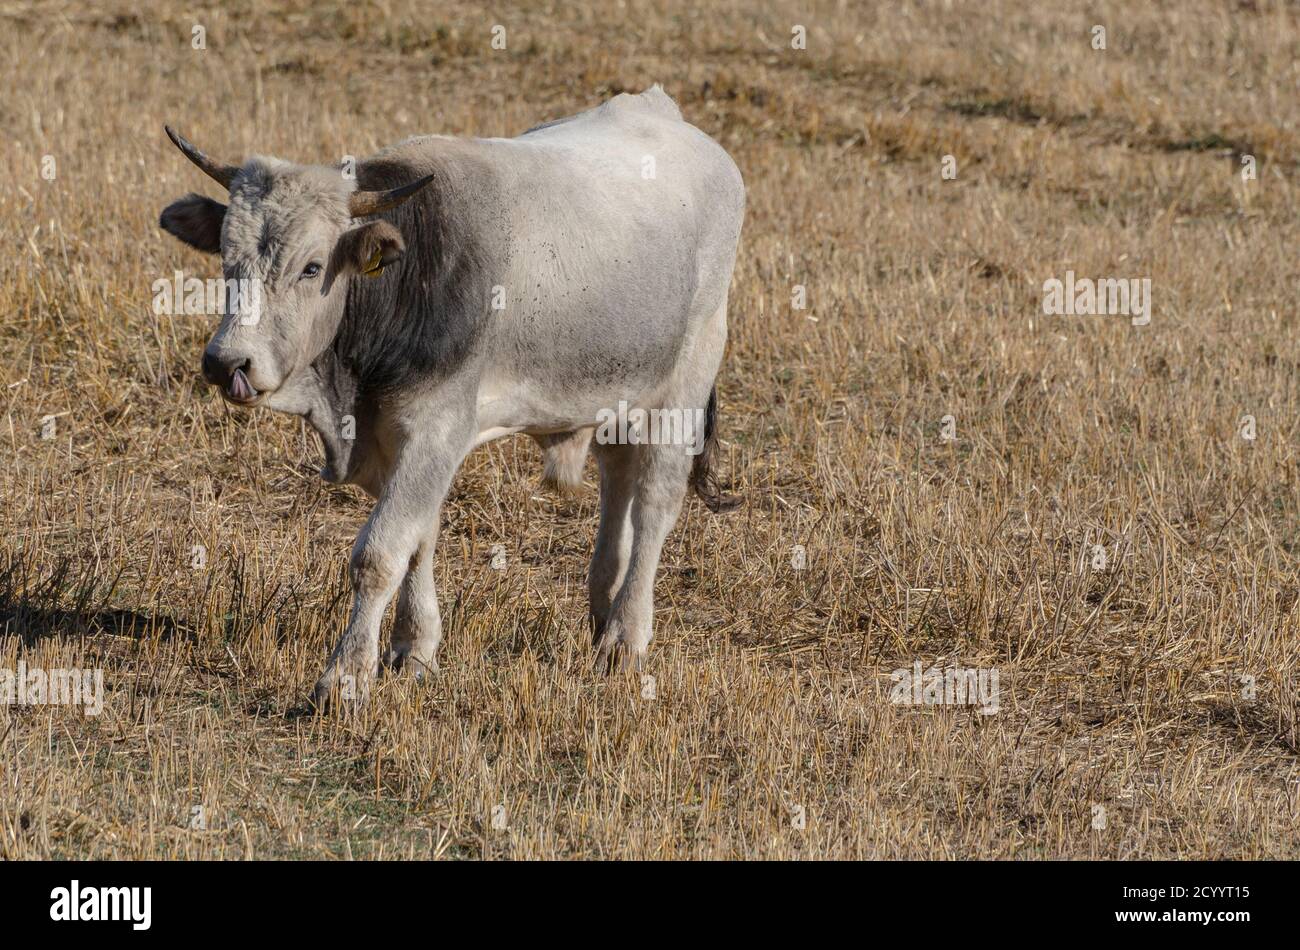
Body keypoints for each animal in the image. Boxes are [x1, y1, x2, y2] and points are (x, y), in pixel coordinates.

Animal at [158, 86, 744, 706]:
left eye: (312, 267)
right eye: (228, 261)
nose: (227, 363)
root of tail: (666, 113)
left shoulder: (434, 431)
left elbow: (380, 553)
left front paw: (346, 676)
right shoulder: (395, 442)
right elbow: (421, 537)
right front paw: (413, 649)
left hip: (686, 382)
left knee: (655, 502)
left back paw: (626, 637)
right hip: (619, 393)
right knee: (618, 485)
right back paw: (603, 611)